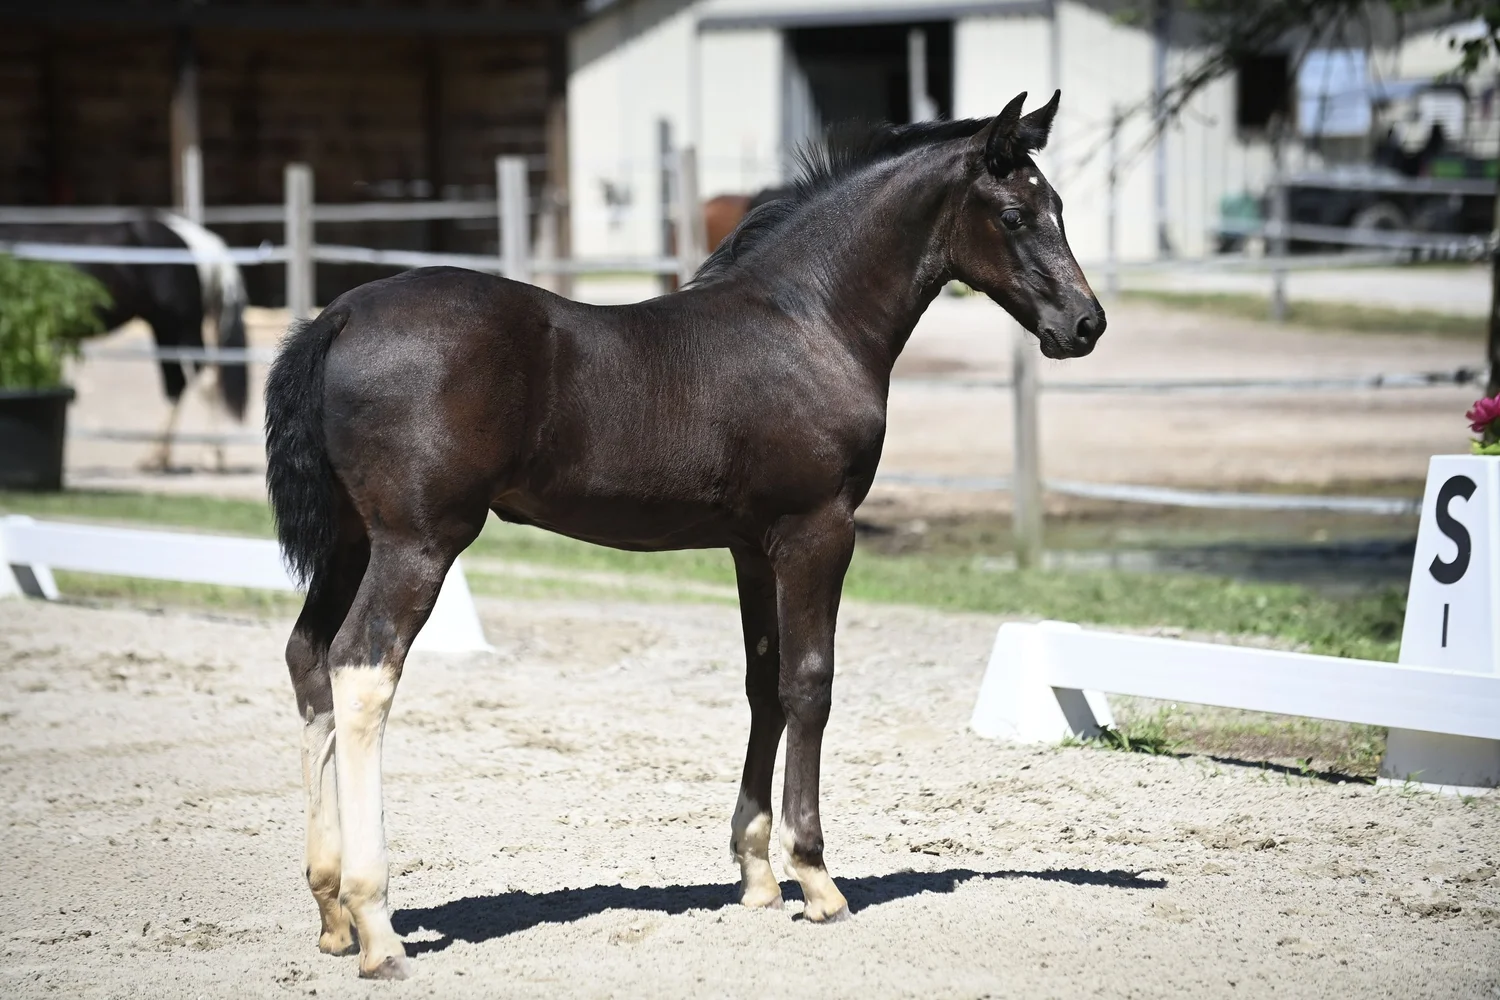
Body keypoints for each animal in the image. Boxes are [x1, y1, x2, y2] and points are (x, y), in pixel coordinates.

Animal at [0, 213, 249, 469]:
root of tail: (200, 240)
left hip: (179, 325)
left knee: (197, 381)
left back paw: (194, 455)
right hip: (166, 327)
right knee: (186, 381)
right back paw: (172, 455)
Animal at [264, 89, 1102, 980]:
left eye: (1059, 205)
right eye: (1014, 214)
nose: (1087, 324)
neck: (809, 322)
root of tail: (340, 315)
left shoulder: (752, 546)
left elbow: (764, 684)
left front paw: (757, 875)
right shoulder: (818, 531)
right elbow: (811, 683)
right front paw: (817, 879)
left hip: (351, 543)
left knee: (309, 657)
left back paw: (331, 913)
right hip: (416, 543)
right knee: (363, 669)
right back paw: (376, 925)